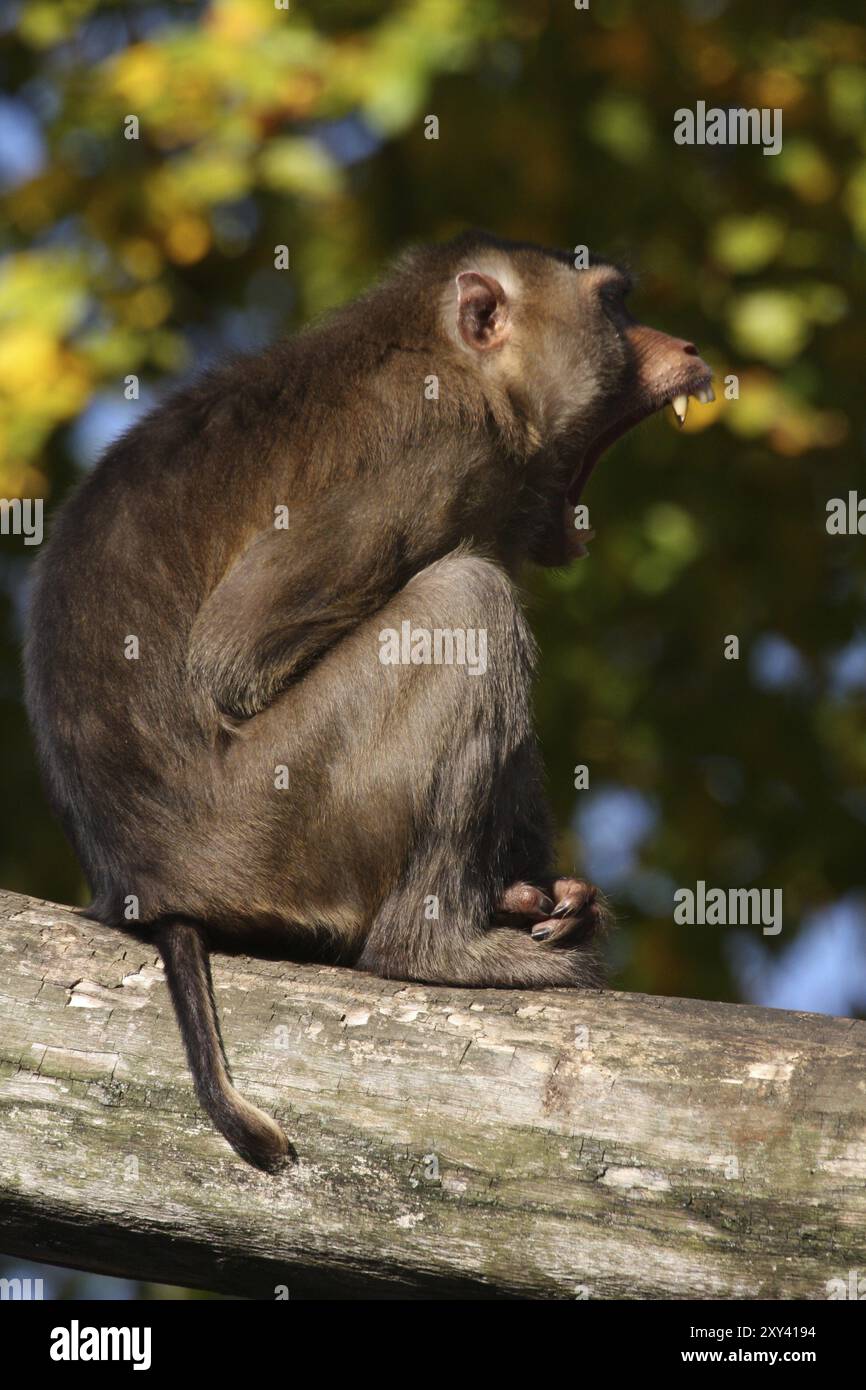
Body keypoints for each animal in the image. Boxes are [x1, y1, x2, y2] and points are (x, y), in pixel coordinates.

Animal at [24, 233, 712, 1170]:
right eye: (614, 306)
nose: (684, 346)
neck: (451, 360)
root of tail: (141, 888)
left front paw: (545, 896)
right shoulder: (435, 449)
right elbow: (233, 662)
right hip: (275, 827)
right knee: (465, 602)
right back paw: (434, 950)